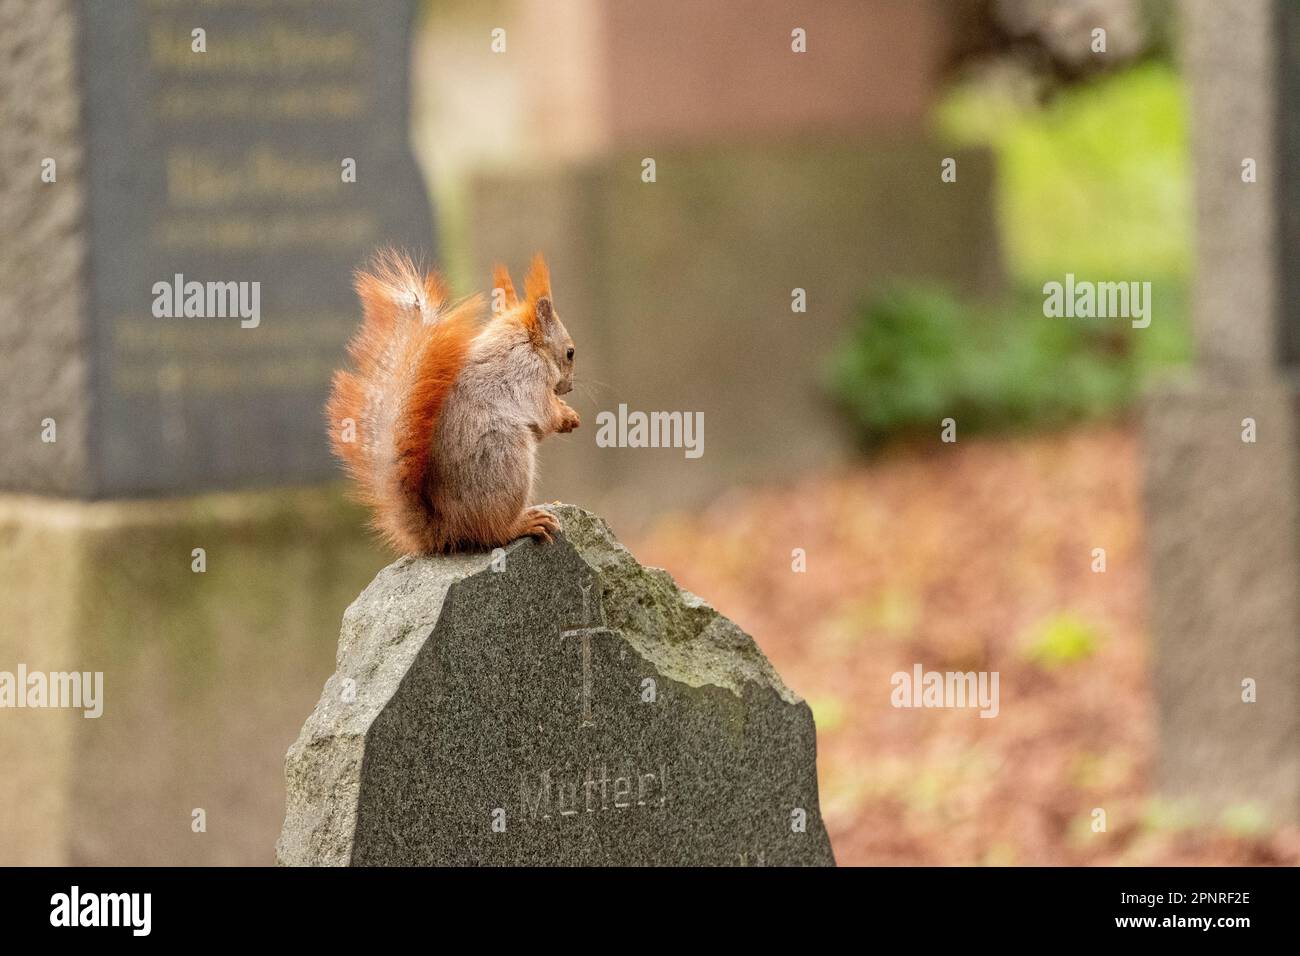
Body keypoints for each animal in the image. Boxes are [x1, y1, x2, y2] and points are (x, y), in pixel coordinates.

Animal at [327, 250, 580, 555]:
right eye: (570, 352)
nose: (569, 387)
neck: (524, 341)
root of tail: (447, 529)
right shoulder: (529, 375)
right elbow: (544, 415)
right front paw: (566, 416)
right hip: (503, 459)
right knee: (492, 532)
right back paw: (523, 524)